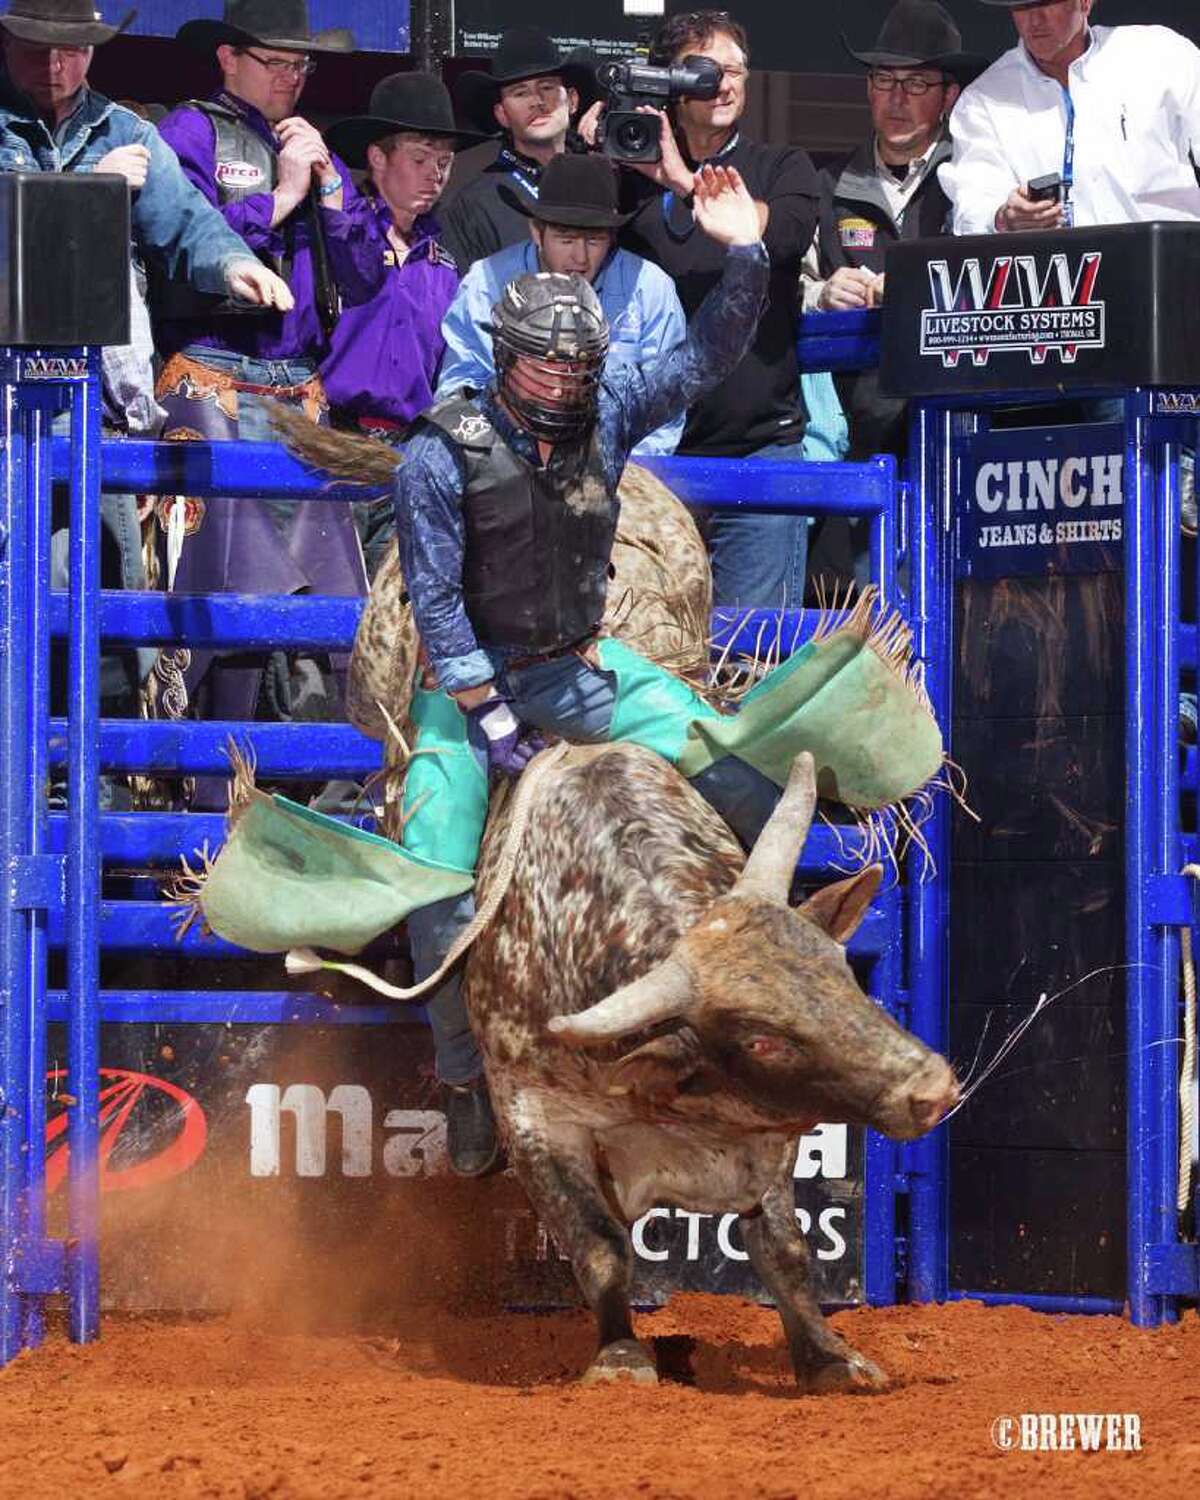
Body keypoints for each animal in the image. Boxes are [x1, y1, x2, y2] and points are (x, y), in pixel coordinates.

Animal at [465, 742, 958, 1393]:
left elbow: (782, 1249)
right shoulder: (534, 1117)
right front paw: (619, 1356)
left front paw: (828, 1357)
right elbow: (600, 1246)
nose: (931, 1088)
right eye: (762, 1041)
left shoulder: (764, 1133)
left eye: (843, 974)